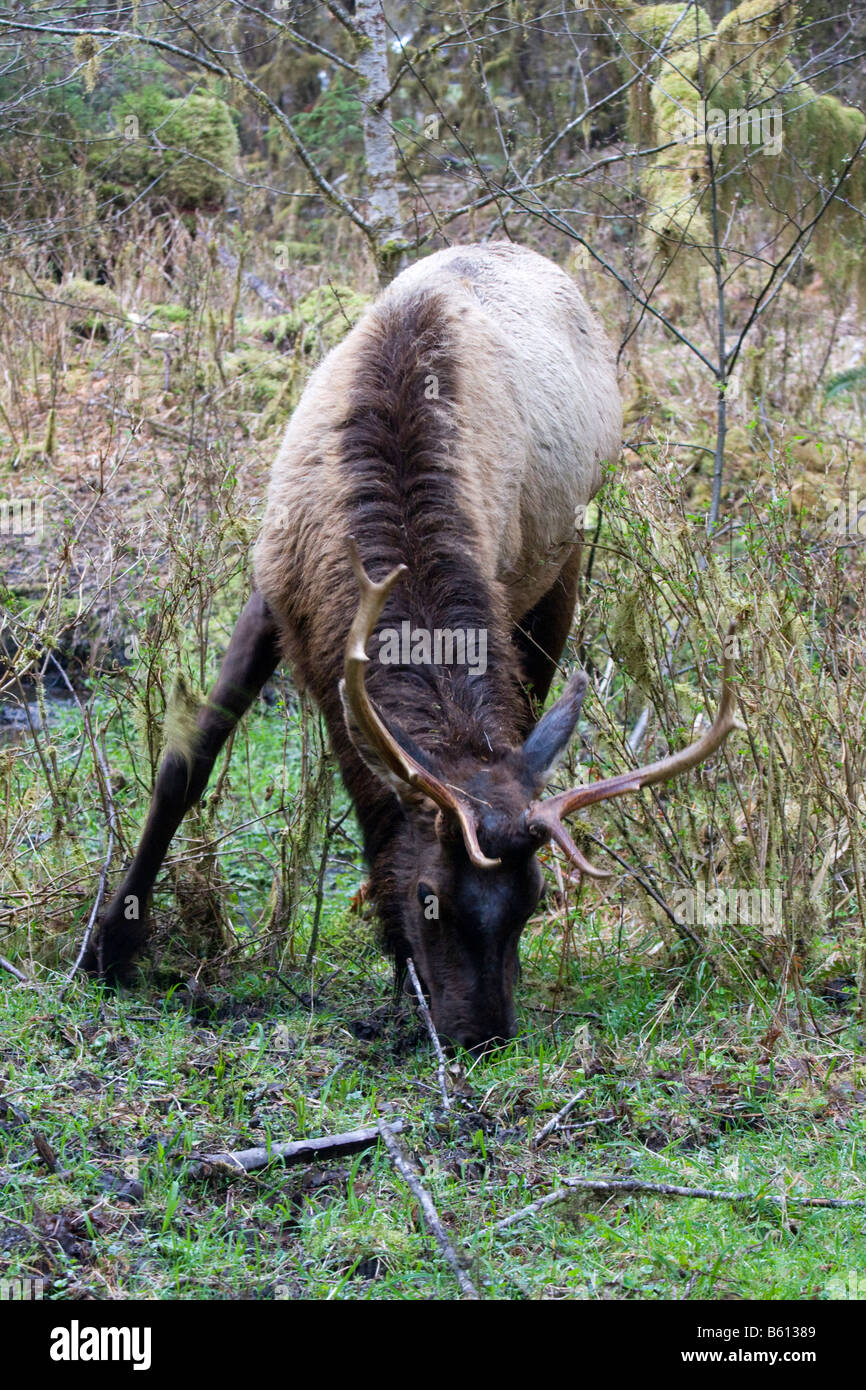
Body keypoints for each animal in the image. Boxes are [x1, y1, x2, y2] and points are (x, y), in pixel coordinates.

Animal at [86, 242, 739, 1050]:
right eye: (432, 897)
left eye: (532, 899)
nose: (485, 1033)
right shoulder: (273, 594)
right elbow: (188, 761)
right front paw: (110, 945)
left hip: (563, 566)